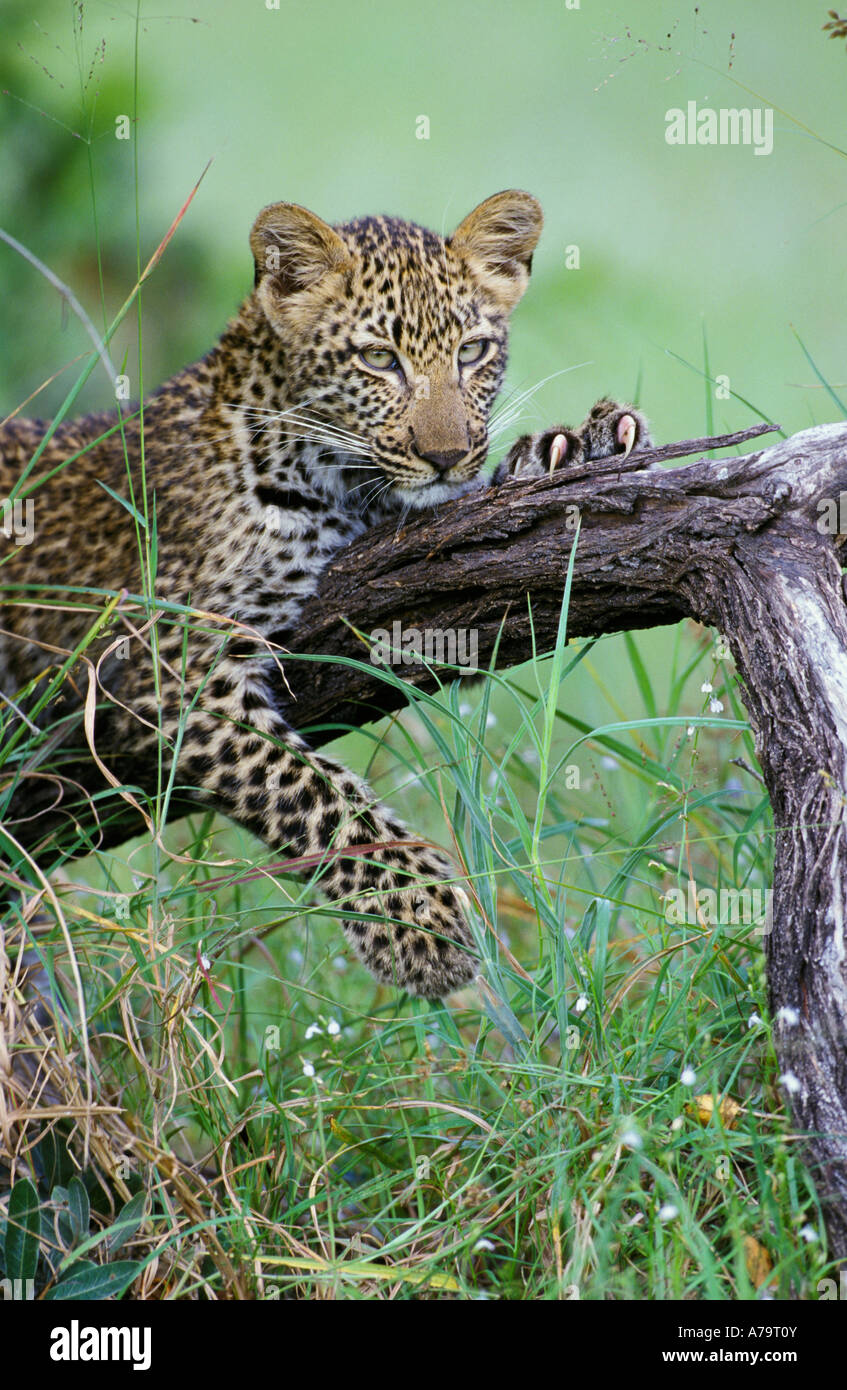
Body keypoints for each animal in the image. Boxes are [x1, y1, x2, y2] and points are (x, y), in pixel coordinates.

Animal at [0, 189, 651, 1000]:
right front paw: (420, 923)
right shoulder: (163, 661)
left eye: (471, 353)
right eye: (378, 360)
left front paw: (572, 448)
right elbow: (302, 784)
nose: (446, 455)